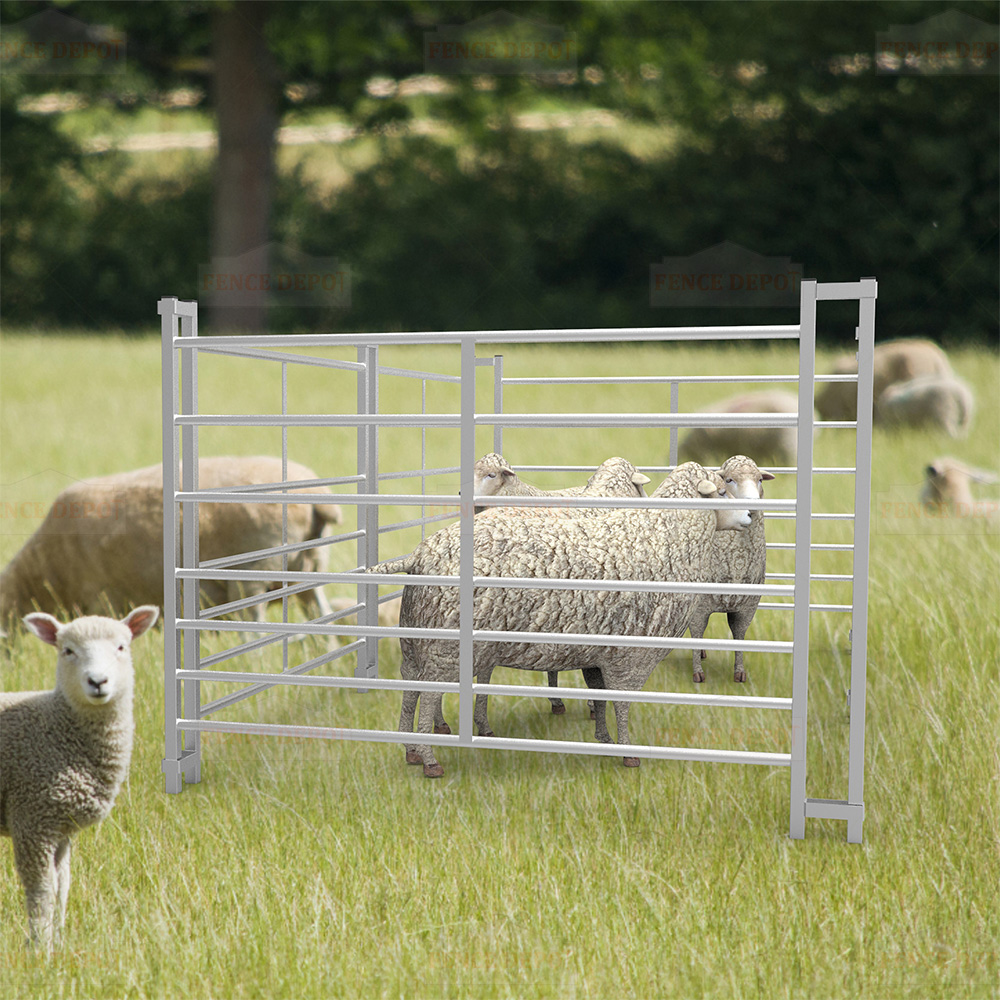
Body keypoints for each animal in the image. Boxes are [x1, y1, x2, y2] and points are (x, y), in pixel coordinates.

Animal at [1, 605, 159, 952]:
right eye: (68, 651)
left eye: (121, 647)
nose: (97, 681)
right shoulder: (32, 818)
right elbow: (42, 890)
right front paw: (40, 946)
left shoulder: (60, 827)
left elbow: (63, 886)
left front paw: (57, 941)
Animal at [685, 455, 775, 683]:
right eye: (729, 479)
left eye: (760, 479)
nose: (752, 503)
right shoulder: (700, 605)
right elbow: (697, 631)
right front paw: (697, 674)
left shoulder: (747, 605)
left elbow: (739, 636)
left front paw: (739, 673)